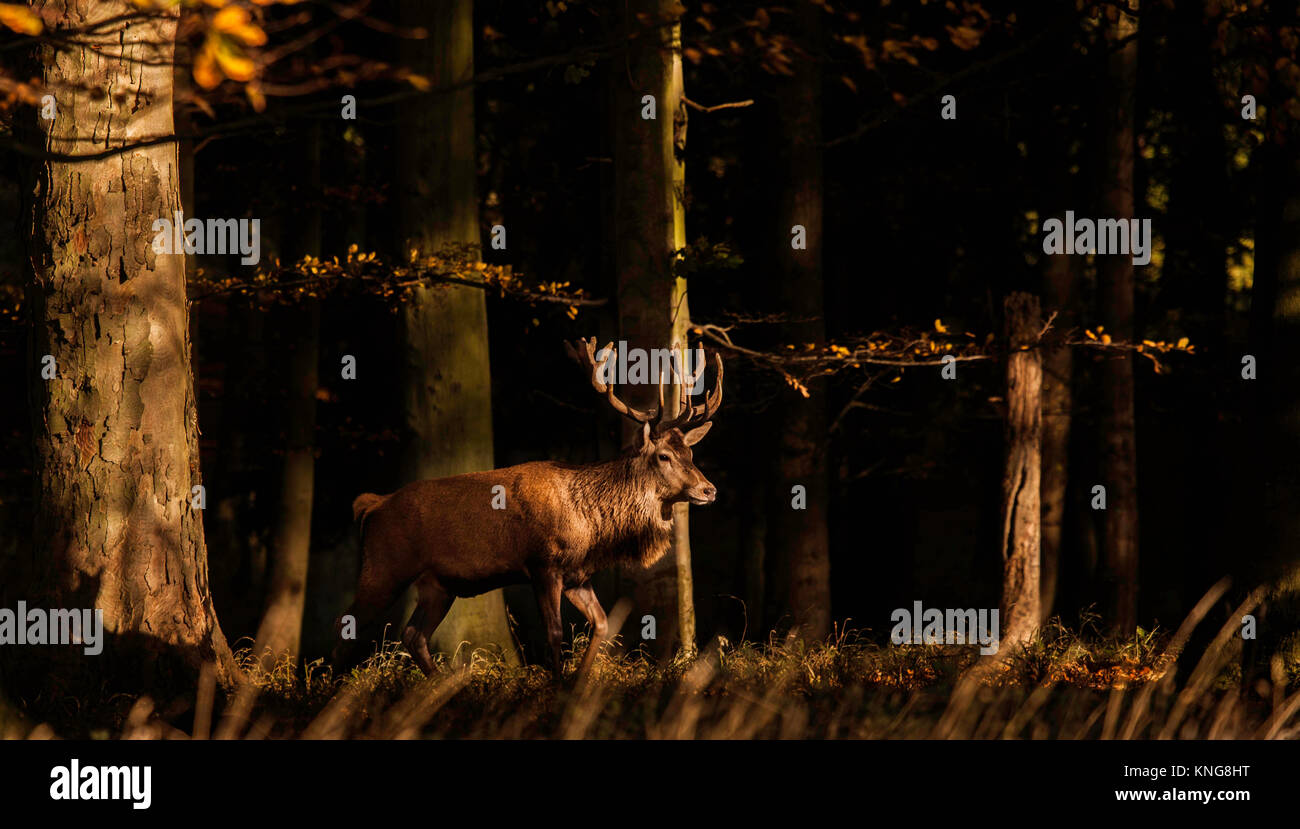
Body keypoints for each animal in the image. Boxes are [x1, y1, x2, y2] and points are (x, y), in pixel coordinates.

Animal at [331, 337, 723, 678]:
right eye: (664, 456)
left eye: (690, 453)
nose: (710, 490)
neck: (591, 526)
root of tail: (373, 505)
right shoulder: (542, 563)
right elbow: (555, 633)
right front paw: (558, 684)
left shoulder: (577, 574)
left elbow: (601, 624)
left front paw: (579, 682)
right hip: (384, 568)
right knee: (344, 624)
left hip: (439, 585)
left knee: (413, 636)